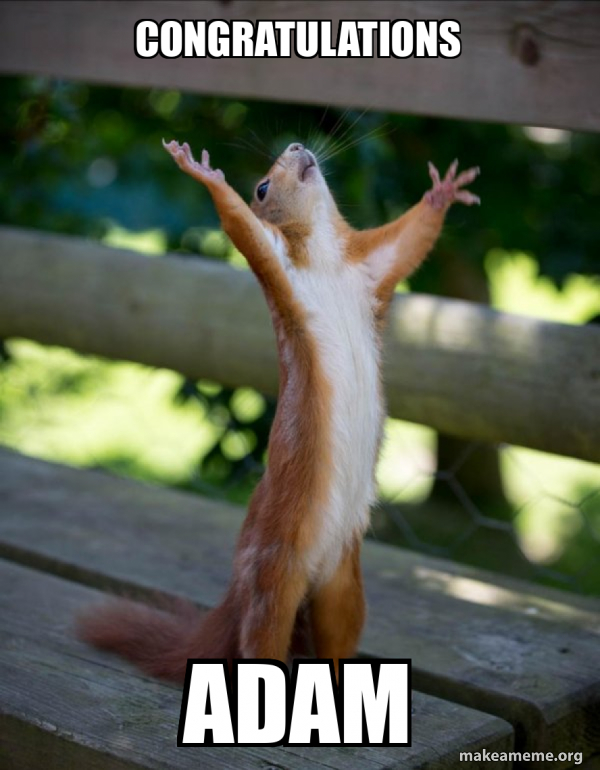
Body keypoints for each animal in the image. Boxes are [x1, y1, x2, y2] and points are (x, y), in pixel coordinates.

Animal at [77, 139, 479, 683]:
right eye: (262, 187)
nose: (296, 146)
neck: (327, 259)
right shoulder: (277, 264)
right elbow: (241, 227)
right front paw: (204, 173)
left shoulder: (372, 266)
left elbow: (410, 239)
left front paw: (442, 193)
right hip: (273, 579)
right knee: (262, 641)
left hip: (344, 590)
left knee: (336, 641)